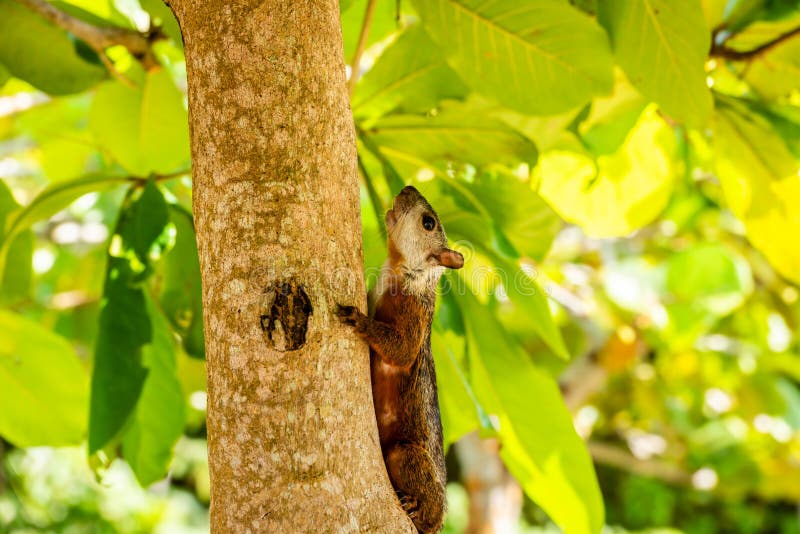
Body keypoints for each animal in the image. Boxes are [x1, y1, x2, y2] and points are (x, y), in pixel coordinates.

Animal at [337, 185, 464, 533]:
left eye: (428, 222)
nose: (407, 188)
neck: (397, 271)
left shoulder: (414, 314)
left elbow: (403, 349)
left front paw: (361, 321)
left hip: (405, 455)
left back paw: (418, 509)